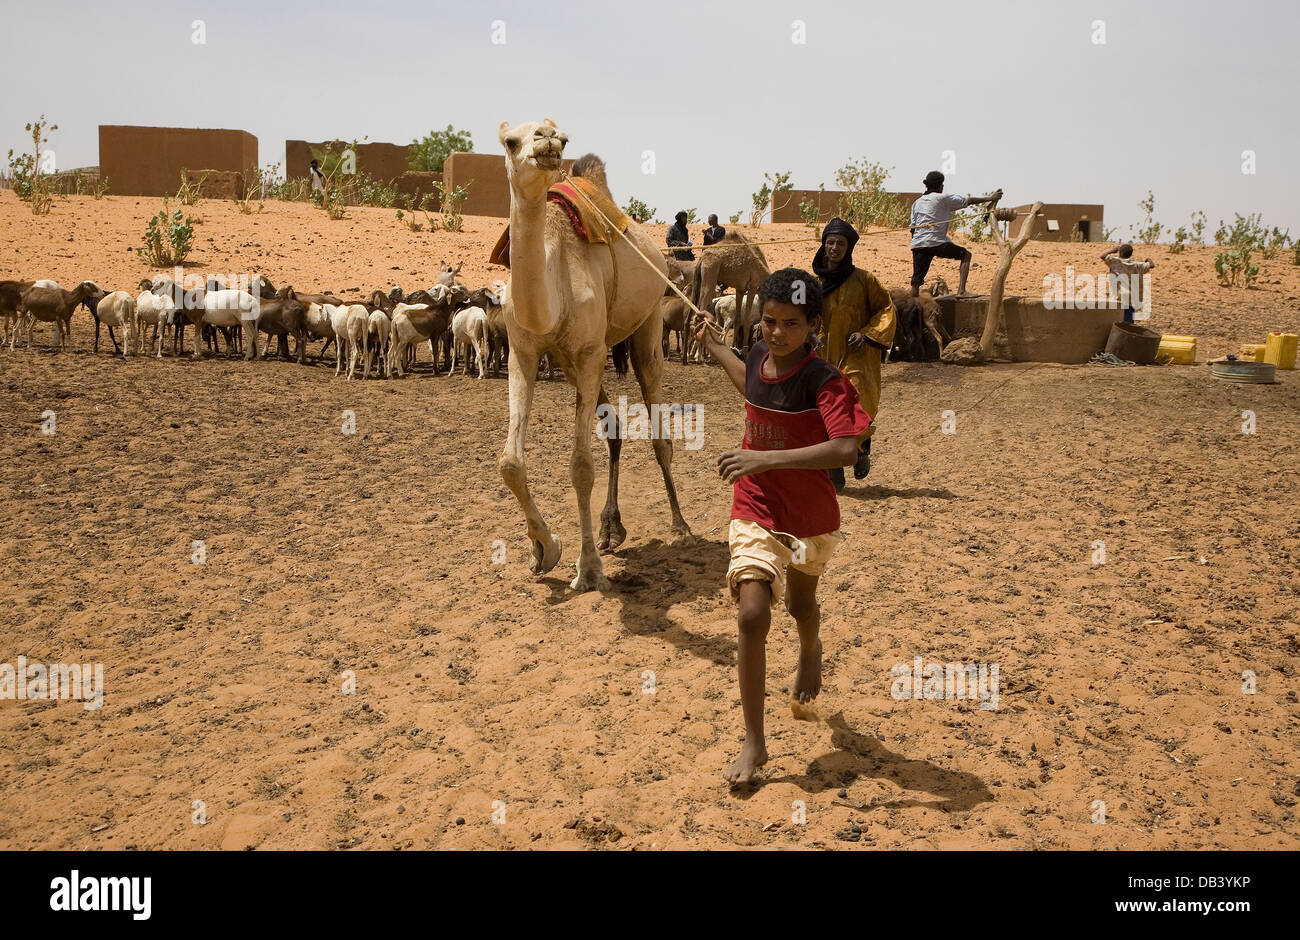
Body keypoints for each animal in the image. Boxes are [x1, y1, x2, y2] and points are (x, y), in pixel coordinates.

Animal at [497, 118, 693, 592]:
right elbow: (510, 463)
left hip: (647, 327)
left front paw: (587, 570)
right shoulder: (524, 353)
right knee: (616, 428)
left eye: (561, 136)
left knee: (658, 433)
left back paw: (679, 526)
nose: (546, 141)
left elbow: (581, 466)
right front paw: (544, 550)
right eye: (510, 141)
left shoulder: (588, 354)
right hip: (578, 361)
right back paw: (610, 529)